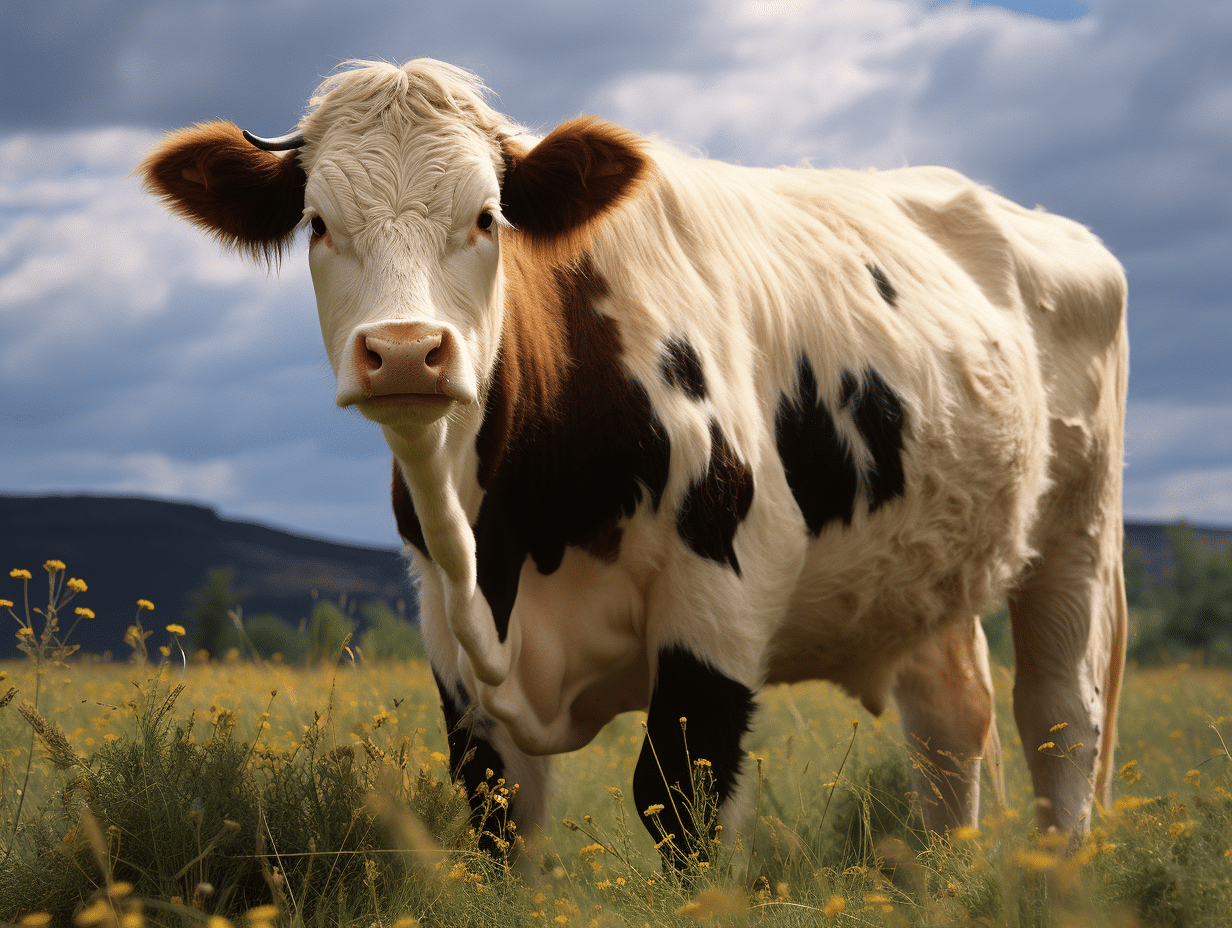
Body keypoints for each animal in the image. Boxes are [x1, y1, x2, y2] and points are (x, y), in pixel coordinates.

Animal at [139, 58, 1128, 856]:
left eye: (487, 217)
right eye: (316, 224)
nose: (408, 351)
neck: (508, 546)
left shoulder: (725, 588)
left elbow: (678, 798)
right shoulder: (448, 639)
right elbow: (501, 817)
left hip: (1079, 531)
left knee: (1061, 721)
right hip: (924, 580)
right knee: (951, 732)